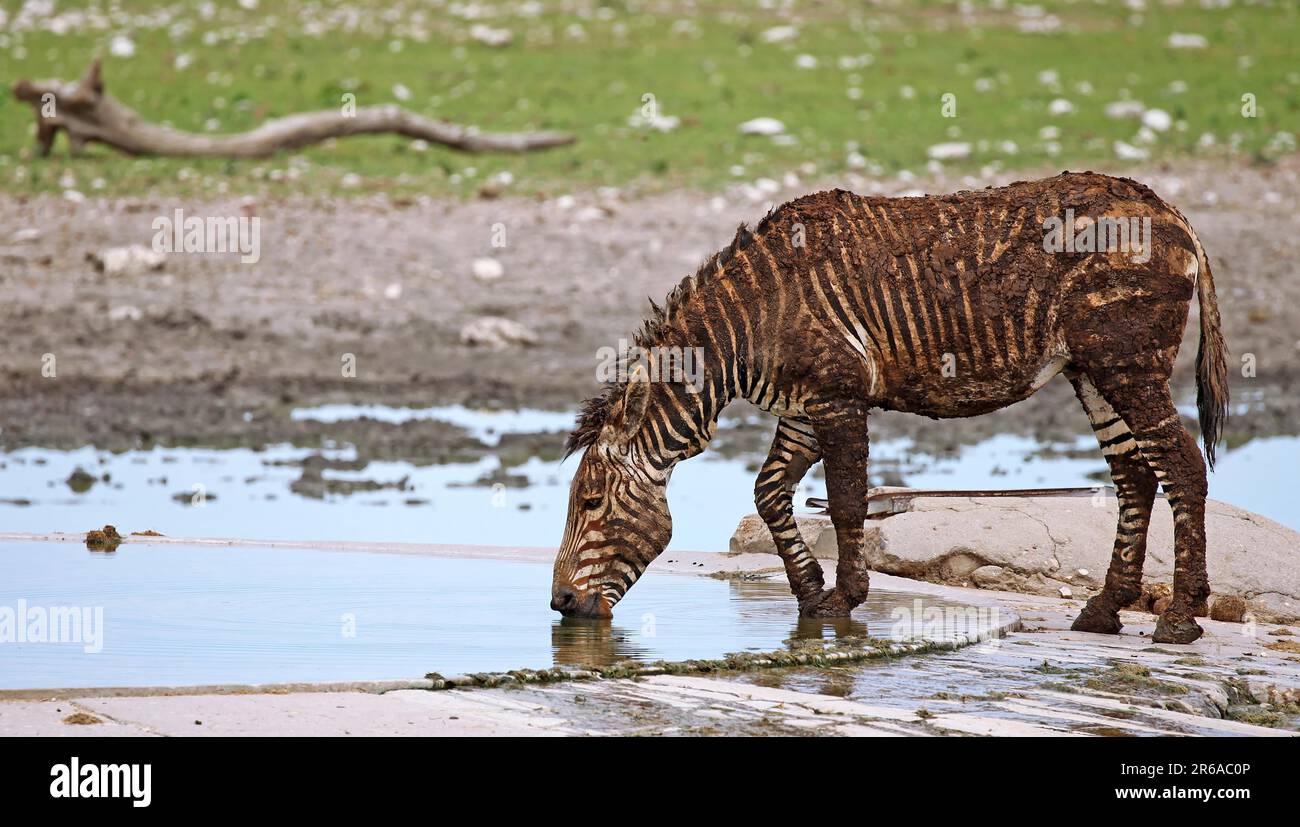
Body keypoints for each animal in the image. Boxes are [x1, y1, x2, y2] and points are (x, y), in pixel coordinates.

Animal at [552, 172, 1228, 645]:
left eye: (590, 503)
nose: (560, 606)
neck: (752, 323)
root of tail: (1166, 209)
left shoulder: (838, 398)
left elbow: (847, 500)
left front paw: (844, 598)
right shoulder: (804, 407)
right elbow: (769, 492)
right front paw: (809, 592)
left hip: (1128, 362)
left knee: (1181, 466)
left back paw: (1179, 618)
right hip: (1092, 370)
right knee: (1135, 474)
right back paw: (1105, 609)